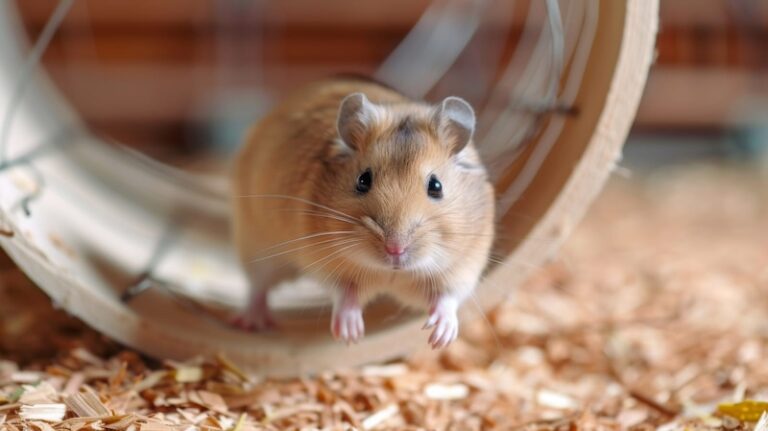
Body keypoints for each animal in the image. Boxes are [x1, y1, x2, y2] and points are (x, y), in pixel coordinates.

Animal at [231, 77, 495, 348]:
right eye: (363, 180)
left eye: (436, 186)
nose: (395, 249)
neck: (391, 273)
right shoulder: (327, 263)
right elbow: (345, 292)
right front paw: (351, 335)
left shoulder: (465, 264)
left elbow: (448, 297)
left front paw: (440, 339)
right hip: (255, 243)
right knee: (258, 285)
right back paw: (251, 322)